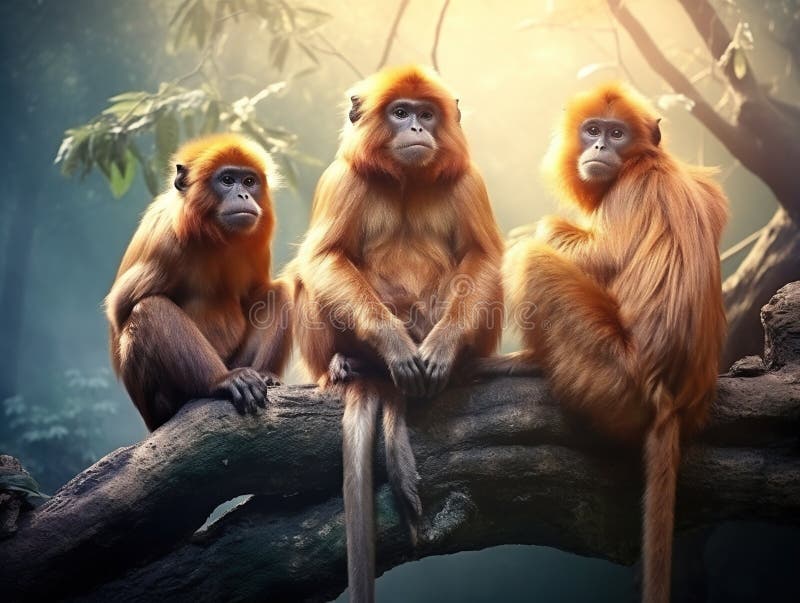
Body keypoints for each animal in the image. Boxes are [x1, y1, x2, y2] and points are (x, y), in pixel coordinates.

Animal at [106, 133, 291, 431]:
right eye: (227, 180)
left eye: (248, 181)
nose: (243, 195)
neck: (214, 235)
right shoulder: (165, 242)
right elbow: (120, 310)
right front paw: (222, 382)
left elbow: (259, 295)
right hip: (157, 403)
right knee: (149, 307)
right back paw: (220, 381)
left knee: (279, 291)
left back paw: (263, 375)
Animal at [288, 65, 504, 602]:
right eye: (400, 113)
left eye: (424, 113)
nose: (417, 128)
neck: (407, 180)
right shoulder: (342, 178)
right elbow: (324, 258)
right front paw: (395, 348)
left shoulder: (469, 180)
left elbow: (484, 258)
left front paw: (441, 352)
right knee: (305, 273)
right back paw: (353, 364)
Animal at [499, 83, 728, 603]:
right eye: (593, 130)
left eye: (617, 134)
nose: (601, 147)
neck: (646, 162)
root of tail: (668, 397)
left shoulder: (631, 190)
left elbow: (598, 256)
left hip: (608, 374)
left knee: (534, 259)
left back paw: (529, 359)